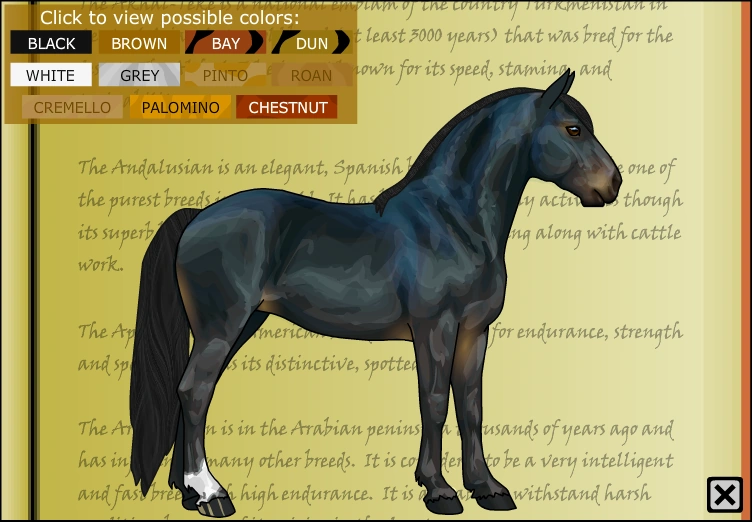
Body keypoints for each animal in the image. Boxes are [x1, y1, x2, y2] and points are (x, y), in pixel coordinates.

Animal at [129, 70, 621, 518]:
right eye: (573, 129)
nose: (612, 184)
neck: (454, 221)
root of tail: (197, 216)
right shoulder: (434, 329)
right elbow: (435, 403)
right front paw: (439, 491)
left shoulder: (475, 332)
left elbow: (472, 407)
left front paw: (489, 489)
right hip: (223, 324)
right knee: (194, 391)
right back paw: (212, 494)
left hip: (242, 323)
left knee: (192, 392)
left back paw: (190, 493)